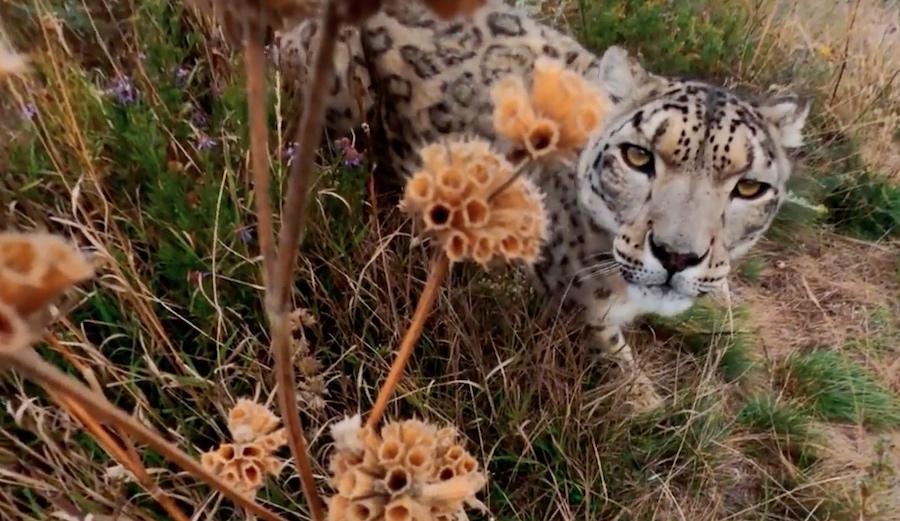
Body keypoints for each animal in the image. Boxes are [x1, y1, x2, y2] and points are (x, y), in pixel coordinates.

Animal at [271, 0, 811, 411]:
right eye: (638, 156)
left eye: (749, 187)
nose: (677, 255)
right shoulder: (574, 304)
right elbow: (619, 366)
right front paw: (651, 407)